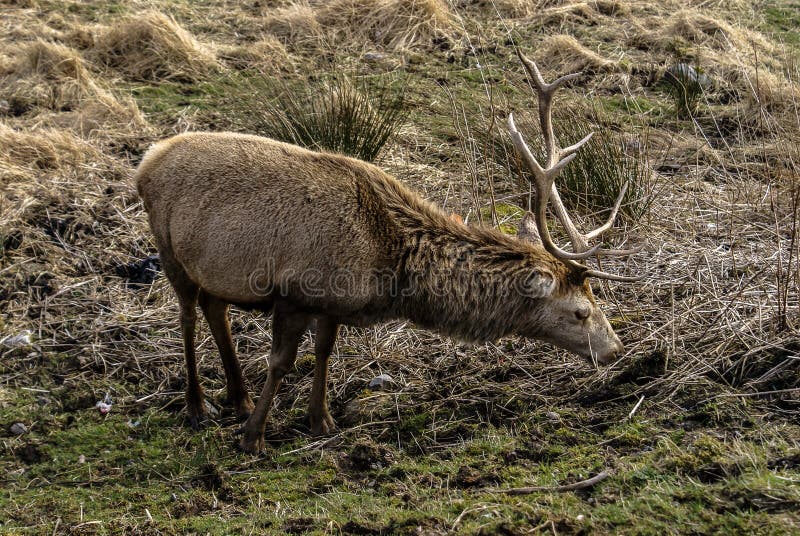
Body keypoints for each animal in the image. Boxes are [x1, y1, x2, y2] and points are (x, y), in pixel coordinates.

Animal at [135, 53, 642, 453]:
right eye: (580, 311)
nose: (616, 350)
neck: (387, 266)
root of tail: (148, 159)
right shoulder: (294, 292)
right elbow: (281, 363)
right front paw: (253, 437)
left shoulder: (332, 303)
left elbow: (324, 353)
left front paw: (321, 421)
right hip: (167, 246)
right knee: (186, 316)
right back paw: (198, 406)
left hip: (213, 268)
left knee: (214, 306)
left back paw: (237, 397)